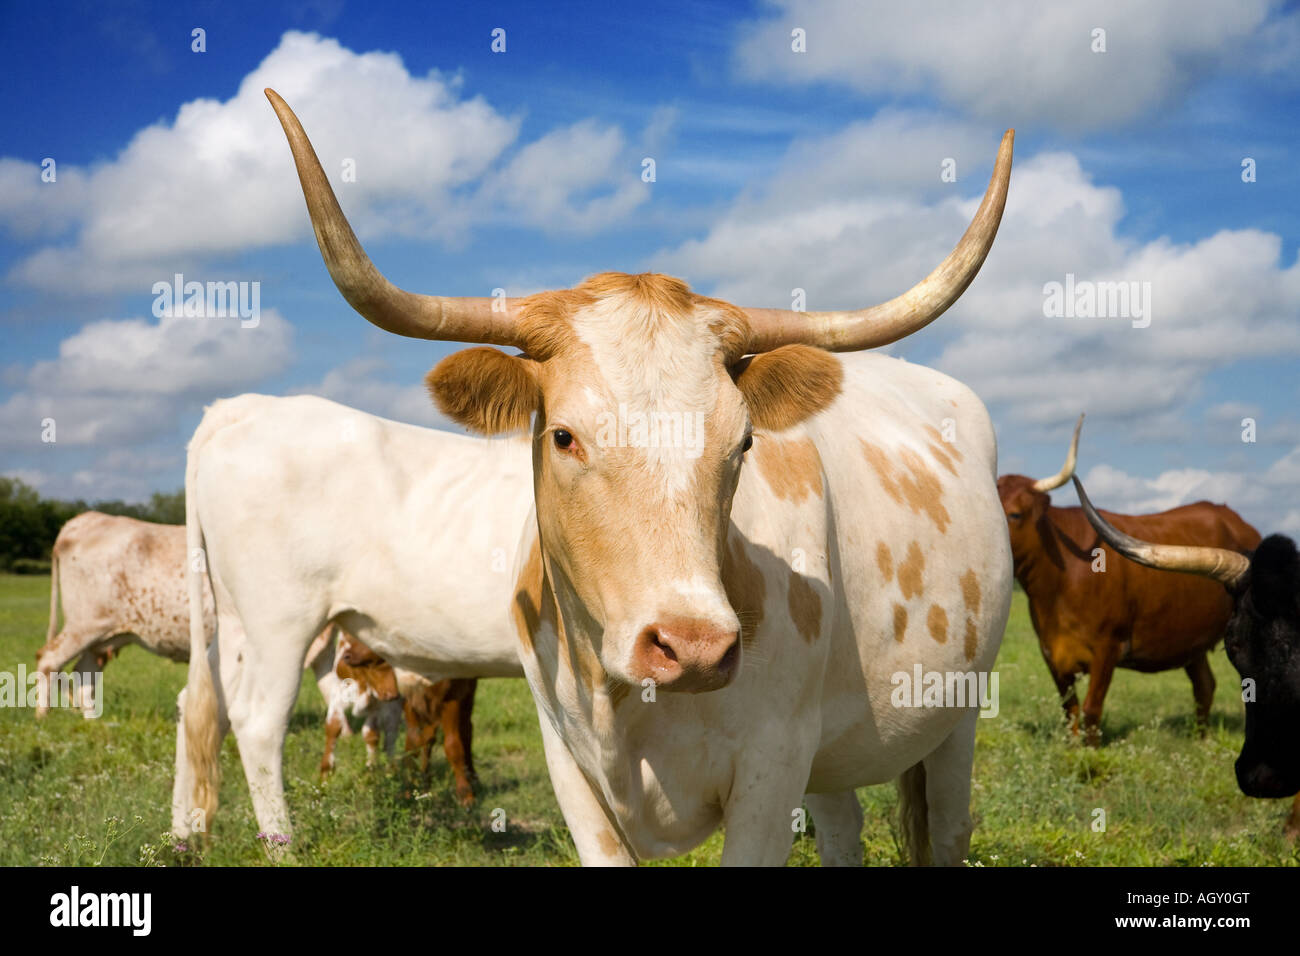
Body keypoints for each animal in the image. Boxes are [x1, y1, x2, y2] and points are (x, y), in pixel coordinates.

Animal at [36, 511, 342, 719]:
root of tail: (86, 519)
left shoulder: (325, 647)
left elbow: (334, 692)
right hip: (84, 625)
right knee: (49, 660)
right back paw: (43, 717)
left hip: (103, 636)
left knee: (84, 673)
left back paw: (93, 720)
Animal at [321, 629, 479, 806]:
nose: (346, 656)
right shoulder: (407, 703)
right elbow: (412, 742)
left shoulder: (452, 699)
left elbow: (452, 745)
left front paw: (465, 794)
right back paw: (423, 779)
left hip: (467, 695)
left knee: (466, 730)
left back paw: (471, 777)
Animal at [997, 418, 1261, 743]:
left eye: (1015, 514)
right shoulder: (1052, 653)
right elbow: (1070, 711)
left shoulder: (1108, 648)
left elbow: (1091, 709)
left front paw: (1090, 752)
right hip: (1192, 642)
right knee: (1205, 685)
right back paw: (1200, 739)